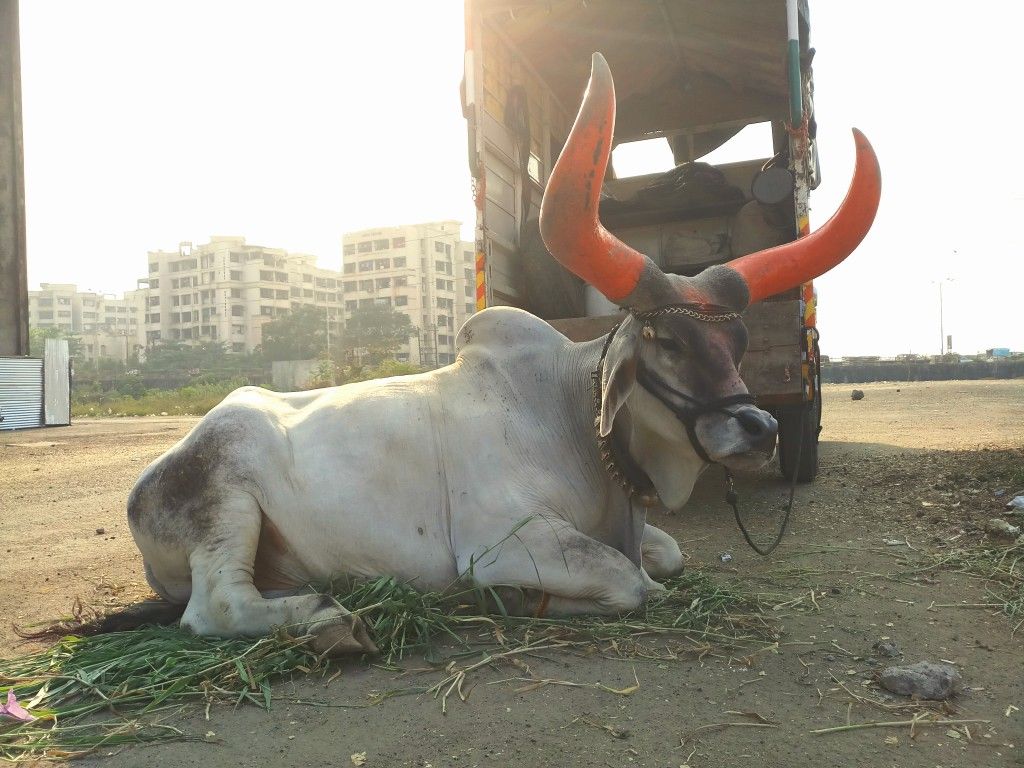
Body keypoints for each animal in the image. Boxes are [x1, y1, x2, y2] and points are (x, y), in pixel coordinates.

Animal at [127, 54, 880, 655]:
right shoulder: (505, 538)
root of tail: (148, 481)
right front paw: (515, 599)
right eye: (666, 341)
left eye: (739, 342)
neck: (573, 419)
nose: (760, 428)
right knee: (216, 608)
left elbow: (667, 557)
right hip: (225, 502)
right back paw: (330, 622)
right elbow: (632, 583)